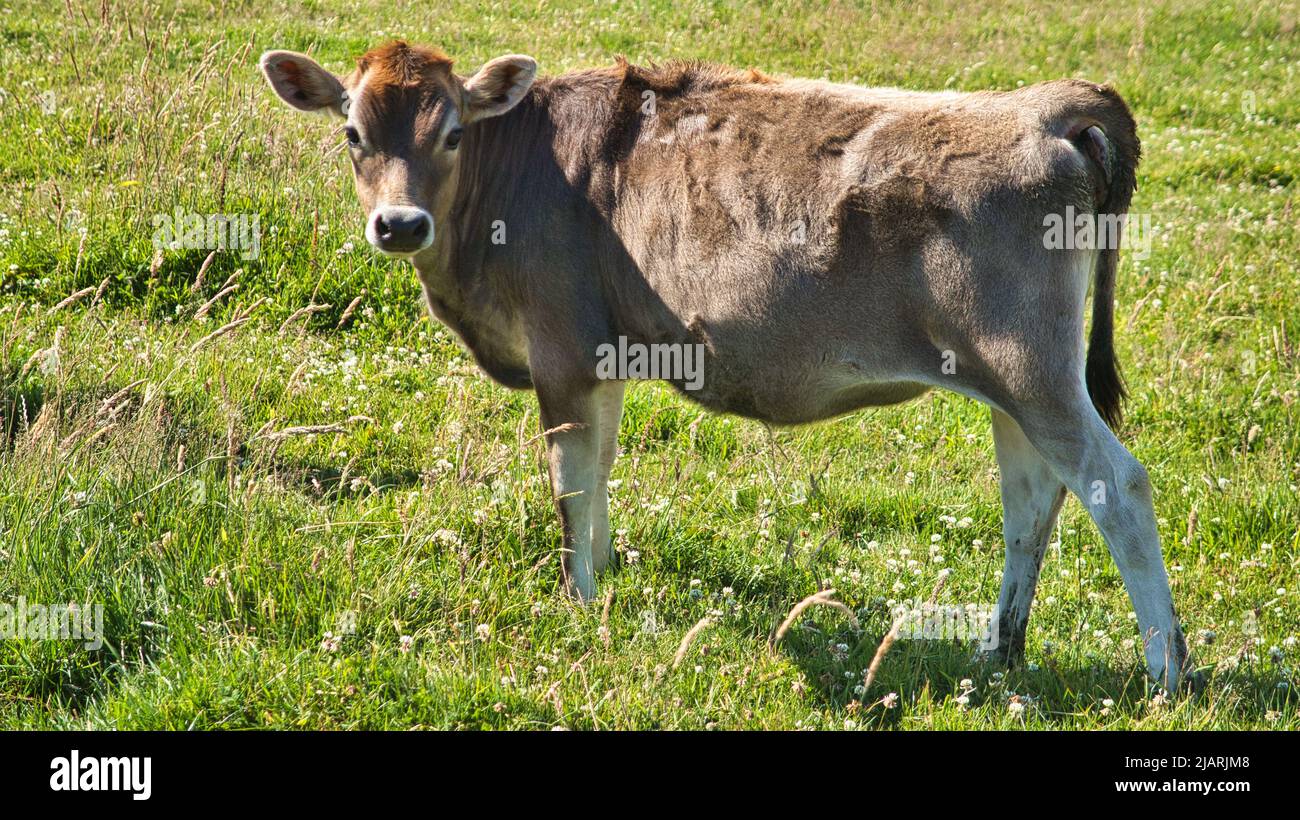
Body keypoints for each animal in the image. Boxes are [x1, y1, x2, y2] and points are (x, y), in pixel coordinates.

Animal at [259, 41, 1191, 689]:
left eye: (453, 131)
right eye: (351, 133)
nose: (399, 224)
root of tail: (1048, 106)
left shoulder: (561, 352)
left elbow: (570, 484)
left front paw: (576, 602)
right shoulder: (603, 357)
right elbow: (600, 473)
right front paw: (603, 583)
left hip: (1032, 373)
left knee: (1116, 484)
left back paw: (1167, 671)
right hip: (1016, 381)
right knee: (1032, 500)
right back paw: (999, 647)